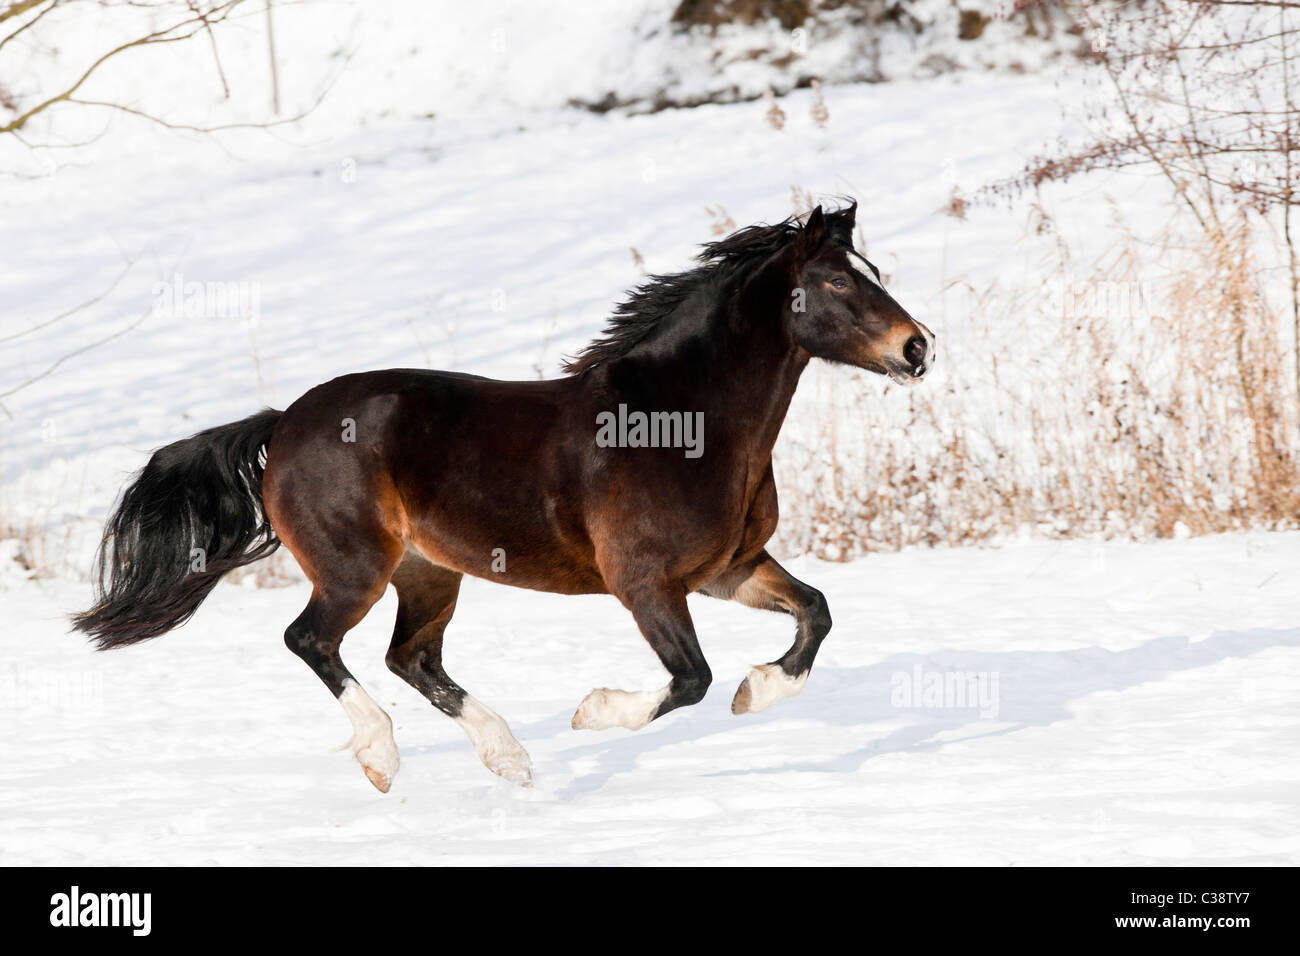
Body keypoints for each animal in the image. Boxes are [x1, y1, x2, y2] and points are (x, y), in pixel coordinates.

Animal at [73, 202, 934, 792]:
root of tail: (283, 423)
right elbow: (691, 679)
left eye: (871, 275)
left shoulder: (729, 568)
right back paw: (384, 757)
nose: (917, 347)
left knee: (410, 658)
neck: (682, 420)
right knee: (312, 641)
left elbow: (815, 612)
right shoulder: (645, 583)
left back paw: (508, 758)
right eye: (835, 281)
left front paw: (759, 693)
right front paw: (596, 711)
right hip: (356, 570)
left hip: (429, 570)